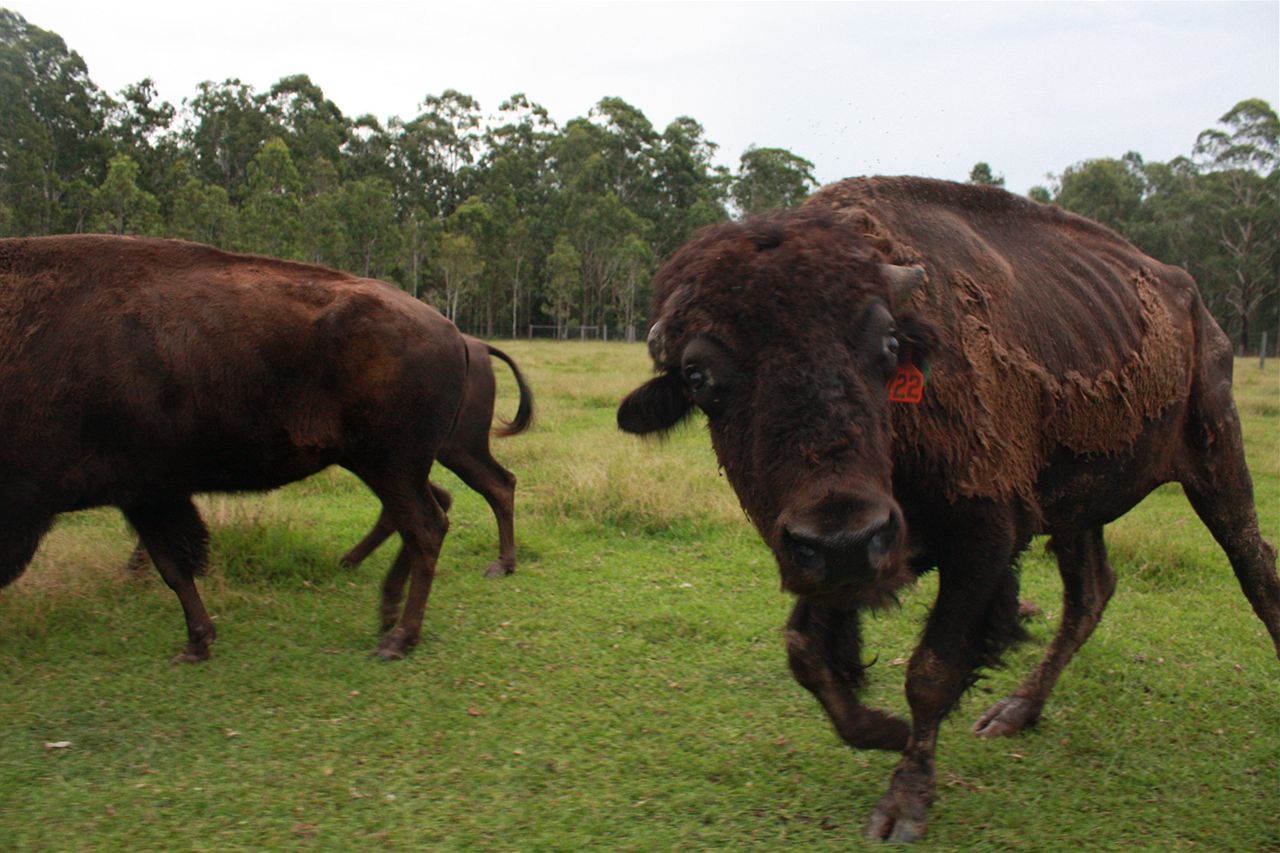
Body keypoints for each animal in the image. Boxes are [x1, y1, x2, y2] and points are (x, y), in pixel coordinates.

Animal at [0, 235, 467, 662]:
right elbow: (174, 565)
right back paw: (387, 613)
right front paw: (199, 641)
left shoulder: (144, 492)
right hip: (382, 465)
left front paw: (194, 645)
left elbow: (174, 563)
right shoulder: (150, 493)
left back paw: (398, 638)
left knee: (426, 527)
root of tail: (451, 332)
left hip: (388, 464)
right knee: (429, 509)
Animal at [618, 177, 1279, 842]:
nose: (845, 539)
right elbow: (805, 650)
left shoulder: (983, 538)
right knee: (1091, 591)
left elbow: (931, 671)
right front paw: (883, 731)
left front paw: (903, 805)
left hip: (1217, 453)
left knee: (1254, 565)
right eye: (697, 375)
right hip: (1076, 503)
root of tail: (1193, 300)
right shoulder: (828, 556)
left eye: (887, 345)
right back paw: (1015, 712)